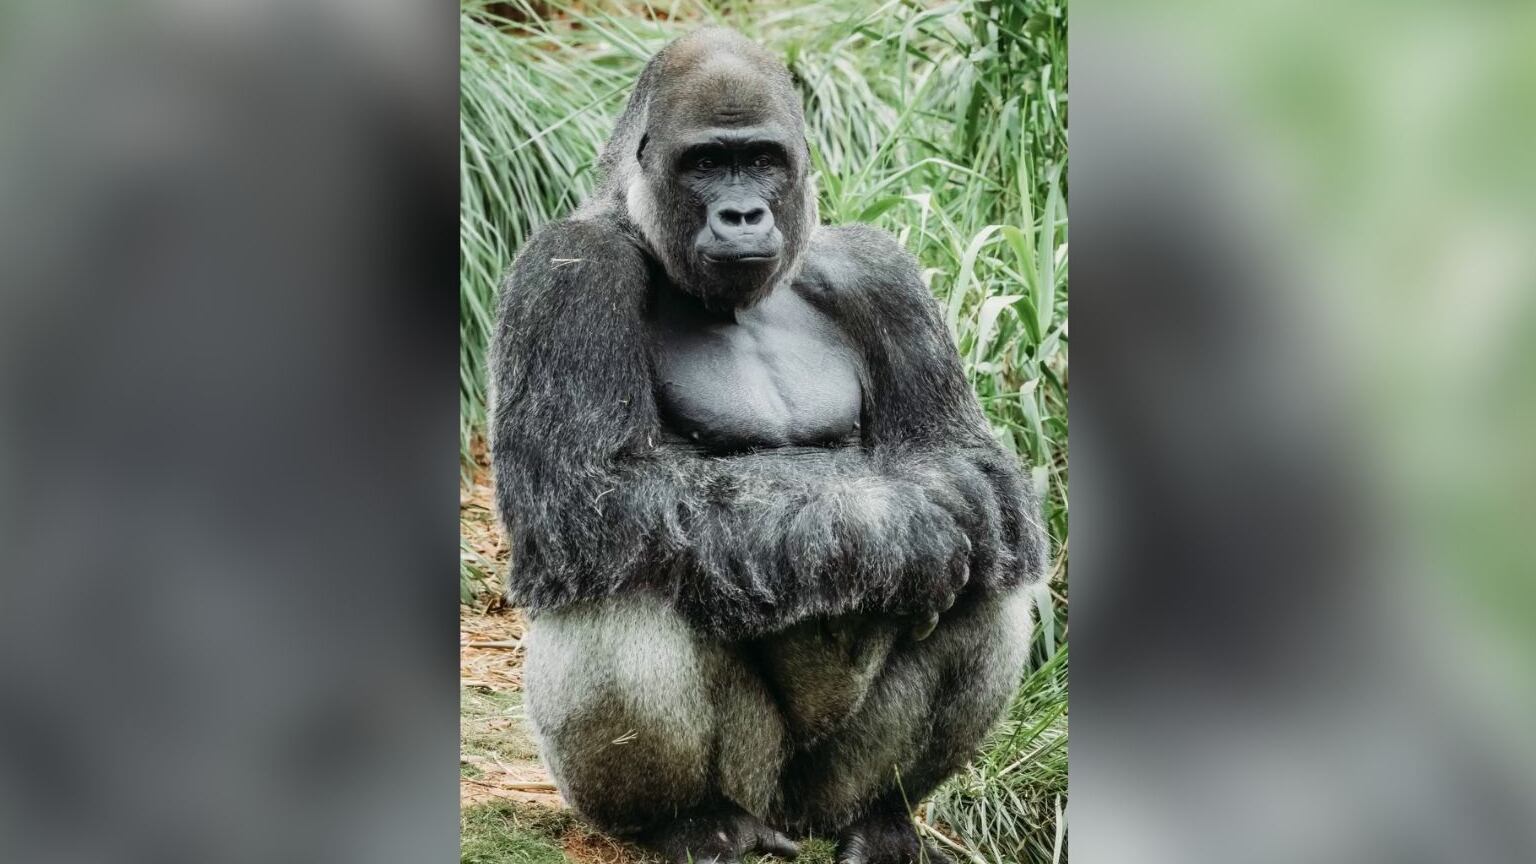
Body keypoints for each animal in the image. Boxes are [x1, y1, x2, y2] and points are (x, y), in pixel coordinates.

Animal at [490, 27, 1046, 864]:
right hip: (744, 780)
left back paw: (879, 816)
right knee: (621, 571)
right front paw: (888, 524)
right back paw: (690, 822)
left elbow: (972, 465)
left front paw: (932, 504)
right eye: (705, 163)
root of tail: (786, 816)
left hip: (818, 794)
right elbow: (588, 487)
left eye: (761, 159)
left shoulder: (880, 271)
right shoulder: (570, 271)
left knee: (991, 565)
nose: (744, 213)